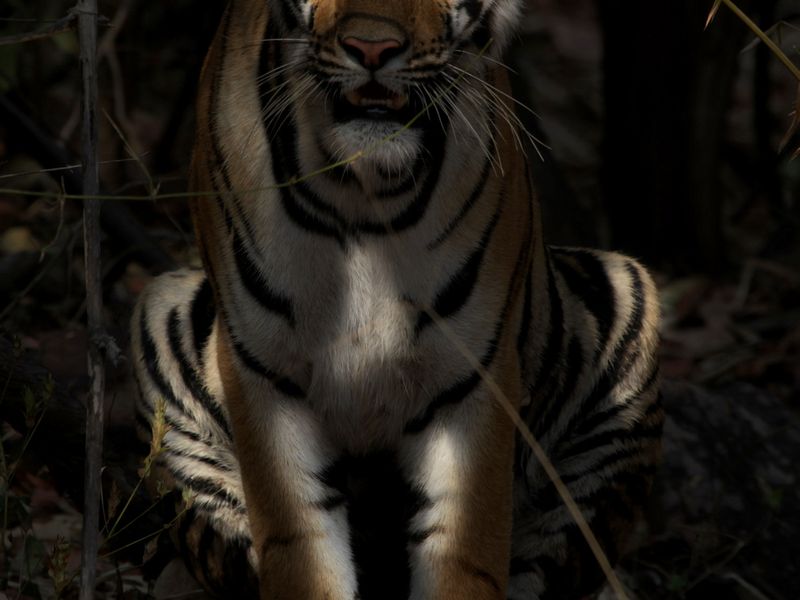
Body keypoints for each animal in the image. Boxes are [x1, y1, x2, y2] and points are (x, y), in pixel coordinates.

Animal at [130, 0, 663, 598]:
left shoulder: (472, 380)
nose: (371, 49)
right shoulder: (263, 371)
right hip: (160, 309)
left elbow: (464, 557)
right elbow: (300, 552)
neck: (363, 192)